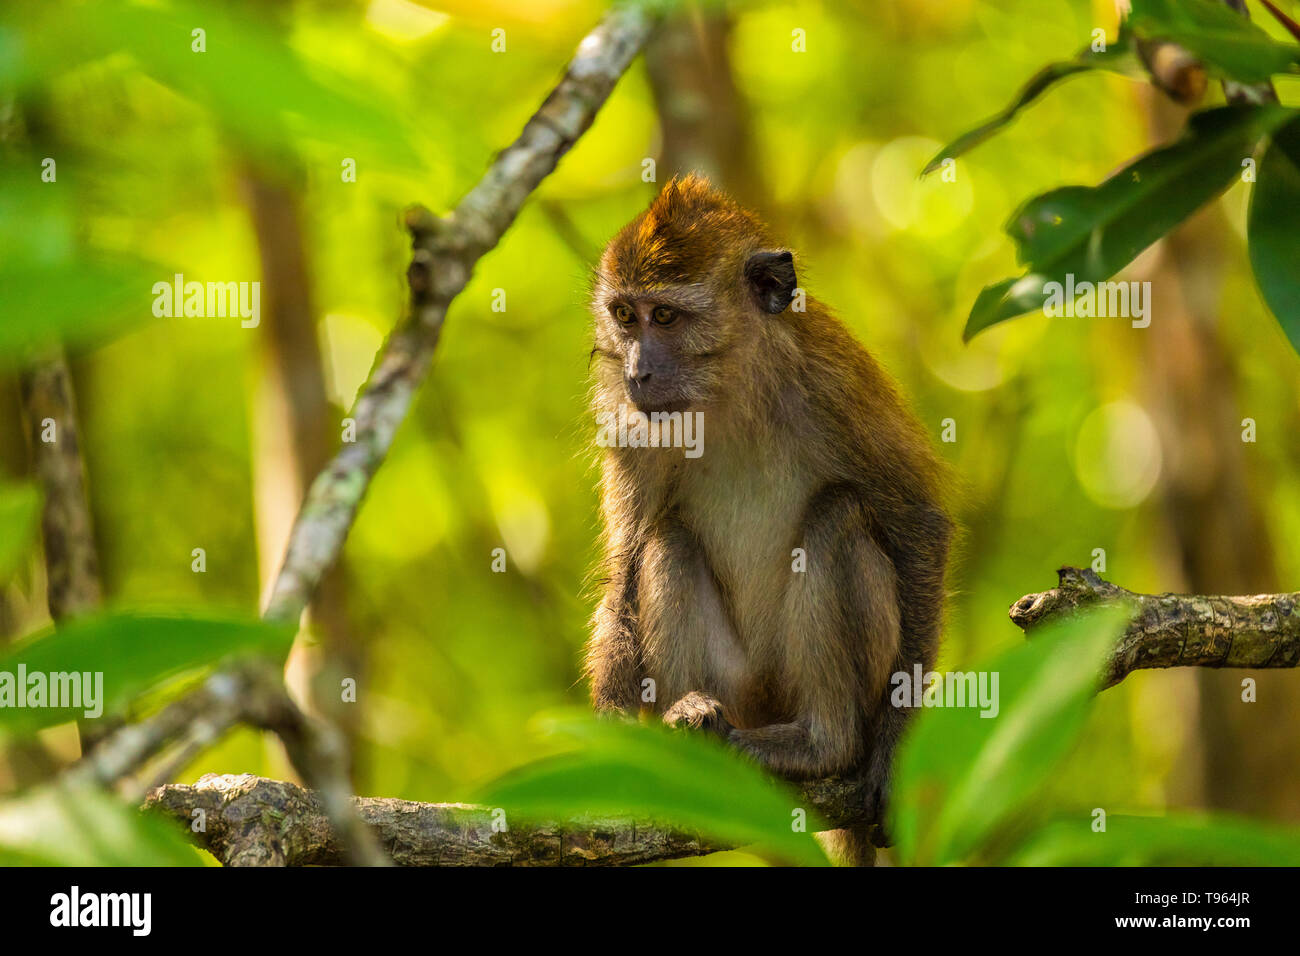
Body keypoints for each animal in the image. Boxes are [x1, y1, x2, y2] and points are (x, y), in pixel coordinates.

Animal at [584, 174, 952, 865]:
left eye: (664, 316)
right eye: (624, 316)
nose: (637, 370)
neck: (728, 390)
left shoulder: (835, 377)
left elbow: (919, 520)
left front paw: (895, 747)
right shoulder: (627, 424)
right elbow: (626, 567)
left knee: (837, 518)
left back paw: (823, 744)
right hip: (743, 689)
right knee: (666, 542)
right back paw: (691, 728)